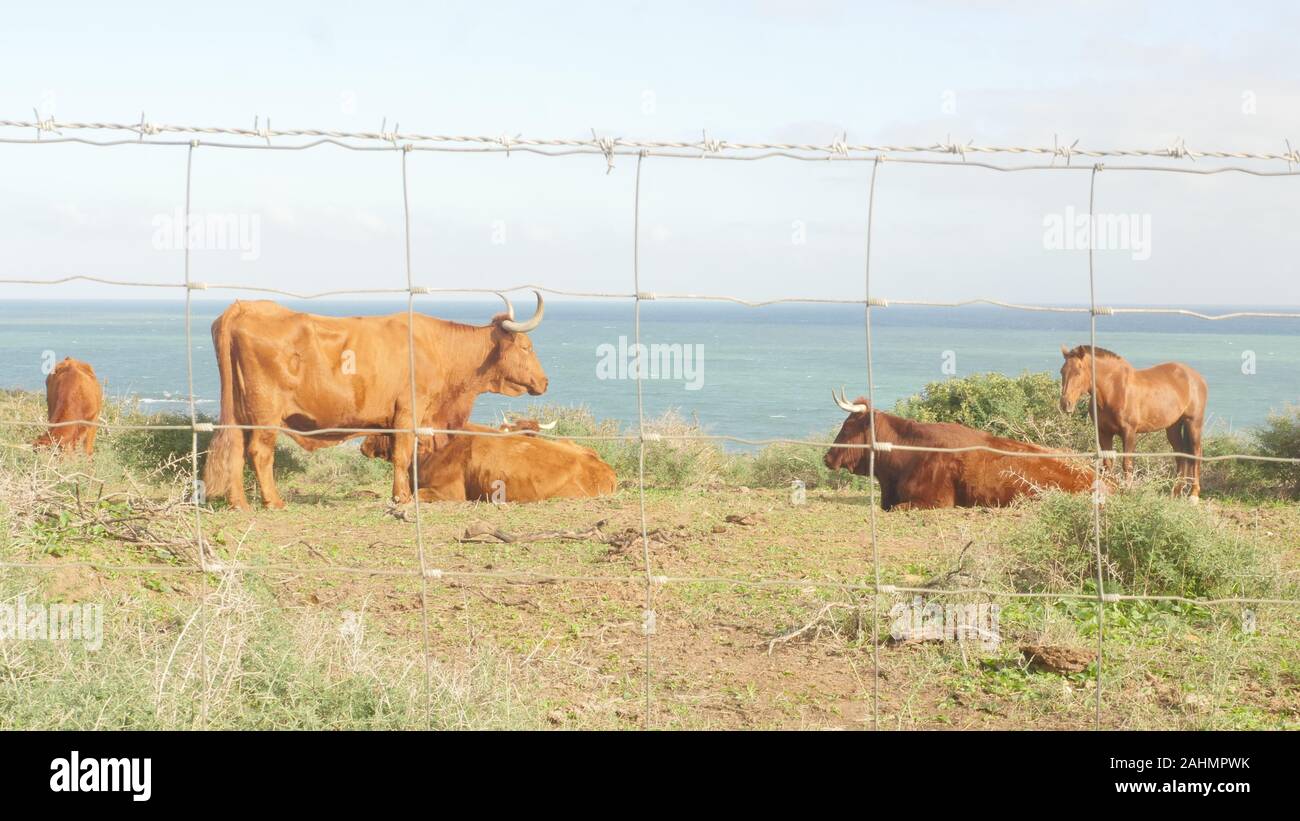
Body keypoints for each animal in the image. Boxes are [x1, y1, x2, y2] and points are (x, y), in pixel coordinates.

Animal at [202, 292, 548, 509]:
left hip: (240, 411)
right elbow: (403, 455)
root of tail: (244, 306)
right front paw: (402, 498)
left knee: (235, 449)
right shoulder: (409, 410)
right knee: (259, 453)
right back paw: (273, 501)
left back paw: (239, 503)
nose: (544, 382)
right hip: (266, 412)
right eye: (527, 347)